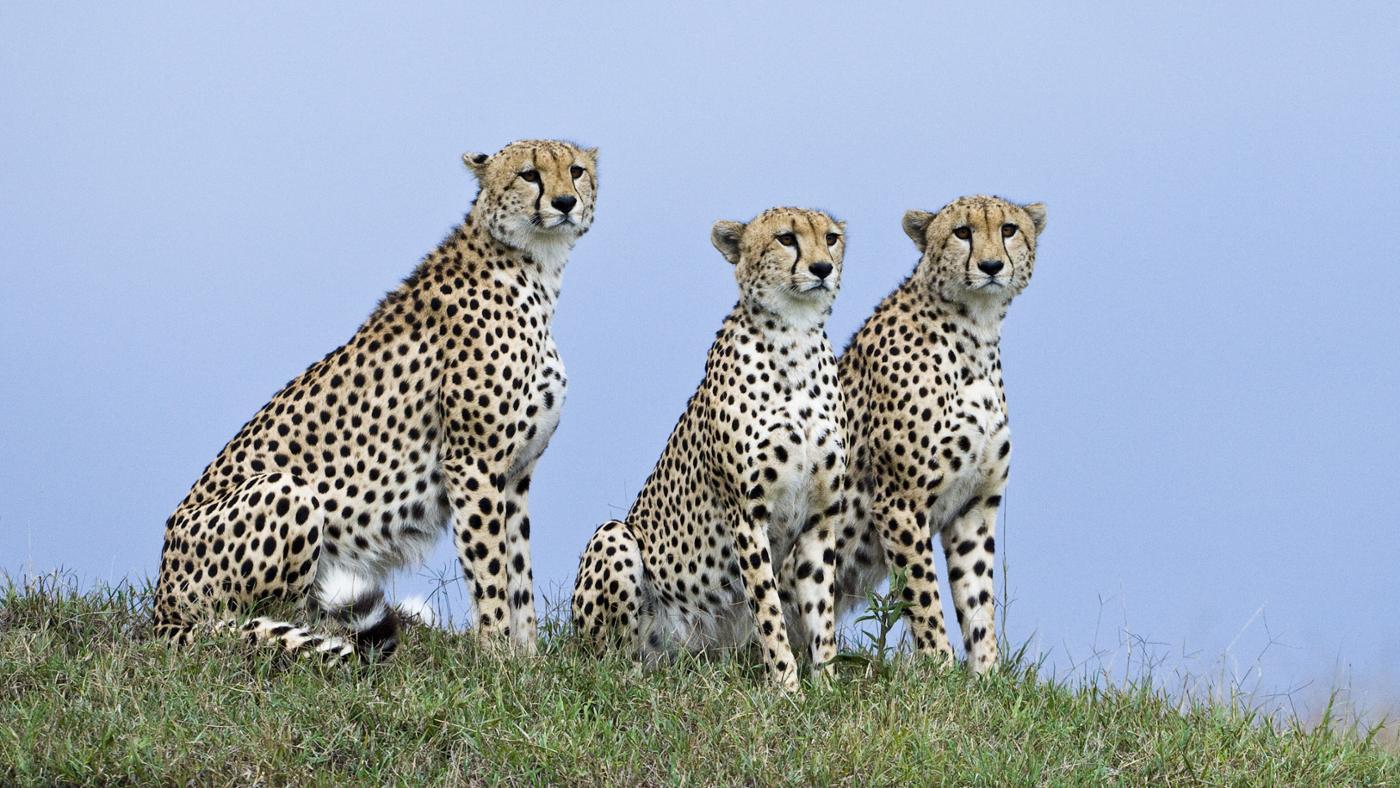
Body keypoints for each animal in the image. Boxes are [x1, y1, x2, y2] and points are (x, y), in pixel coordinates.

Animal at [152, 138, 598, 661]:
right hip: (287, 491)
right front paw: (494, 657)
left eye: (576, 170)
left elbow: (519, 572)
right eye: (529, 174)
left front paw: (525, 660)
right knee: (267, 616)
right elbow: (490, 571)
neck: (535, 268)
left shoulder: (515, 474)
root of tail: (161, 604)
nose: (565, 203)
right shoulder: (472, 463)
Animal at [572, 207, 848, 691]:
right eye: (786, 239)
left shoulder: (819, 519)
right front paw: (787, 688)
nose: (822, 268)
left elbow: (821, 613)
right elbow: (769, 609)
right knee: (609, 660)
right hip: (614, 537)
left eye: (831, 238)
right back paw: (629, 678)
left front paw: (827, 685)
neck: (795, 340)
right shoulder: (747, 513)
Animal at [834, 195, 1046, 674]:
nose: (990, 265)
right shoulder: (899, 501)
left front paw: (985, 674)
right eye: (962, 232)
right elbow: (922, 591)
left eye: (1008, 229)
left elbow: (978, 597)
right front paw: (940, 668)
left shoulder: (975, 506)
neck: (976, 334)